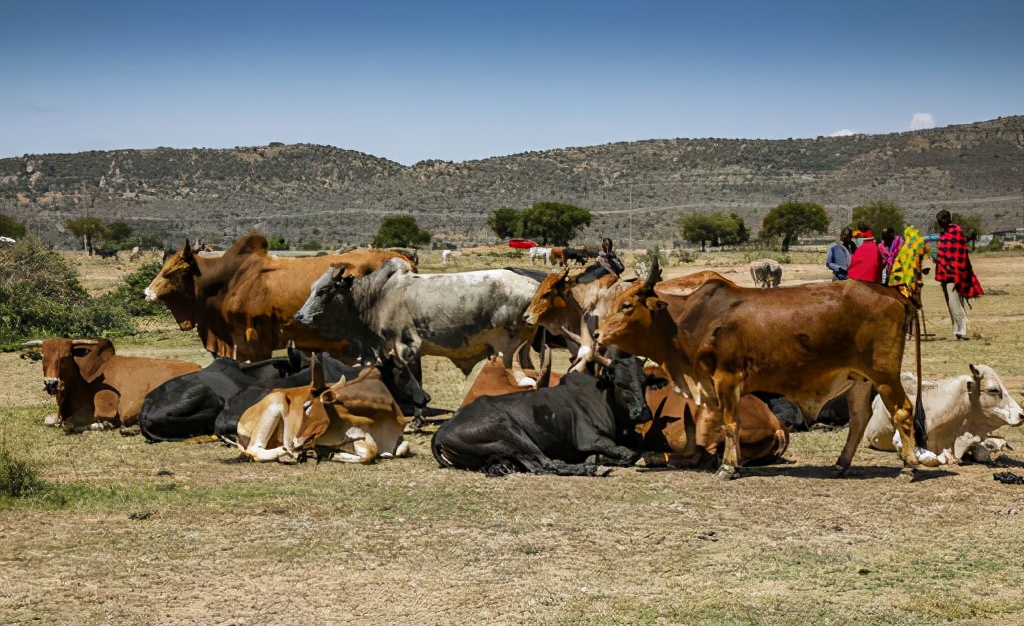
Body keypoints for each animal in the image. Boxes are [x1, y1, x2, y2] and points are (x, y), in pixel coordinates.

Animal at [25, 338, 201, 434]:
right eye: (43, 356)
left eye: (65, 356)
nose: (51, 383)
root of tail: (199, 367)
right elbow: (51, 421)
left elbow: (70, 424)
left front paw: (102, 425)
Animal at [230, 356, 409, 464]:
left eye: (307, 406)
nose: (296, 440)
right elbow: (370, 451)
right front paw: (333, 454)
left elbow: (403, 447)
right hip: (277, 399)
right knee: (255, 449)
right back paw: (289, 452)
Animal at [294, 257, 542, 377]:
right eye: (313, 288)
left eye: (324, 290)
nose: (300, 316)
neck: (377, 296)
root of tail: (534, 285)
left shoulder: (405, 347)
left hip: (506, 349)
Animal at [430, 348, 655, 476]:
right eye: (619, 382)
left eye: (644, 381)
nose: (643, 413)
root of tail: (440, 432)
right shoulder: (592, 441)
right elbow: (631, 453)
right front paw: (597, 460)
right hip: (513, 435)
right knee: (545, 465)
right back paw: (588, 468)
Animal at [594, 258, 938, 480]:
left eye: (627, 305)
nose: (597, 335)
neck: (689, 321)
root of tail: (894, 294)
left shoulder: (727, 378)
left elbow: (730, 423)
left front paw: (728, 467)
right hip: (860, 379)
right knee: (858, 419)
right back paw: (841, 464)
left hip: (884, 375)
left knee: (902, 411)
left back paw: (909, 466)